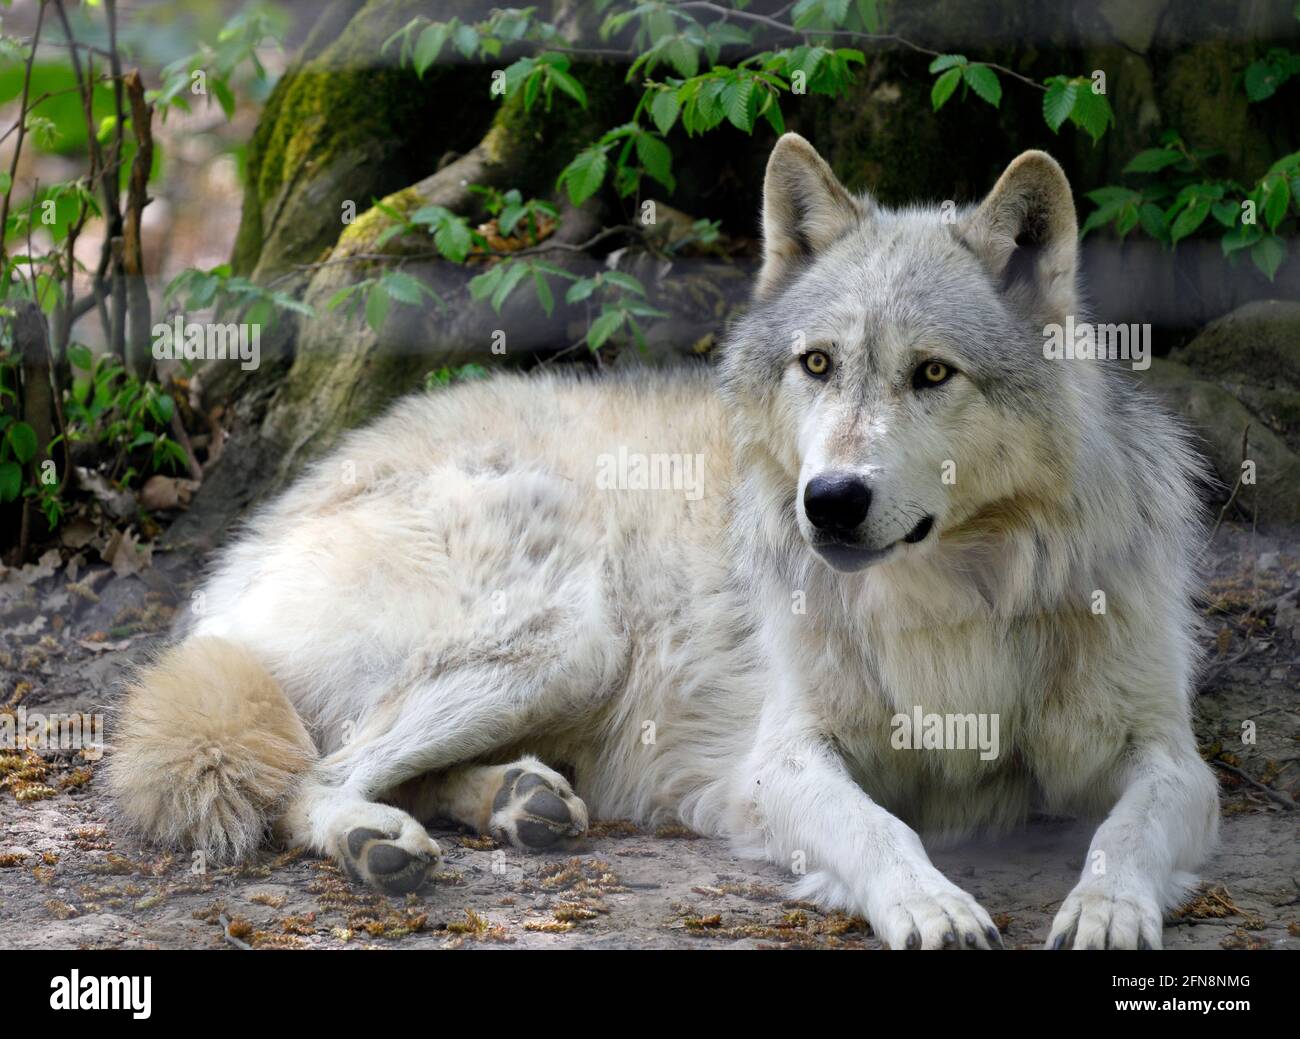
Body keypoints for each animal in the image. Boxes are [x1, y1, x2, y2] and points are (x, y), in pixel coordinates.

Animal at [108, 134, 1218, 949]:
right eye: (818, 364)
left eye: (933, 373)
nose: (830, 501)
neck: (952, 598)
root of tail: (255, 538)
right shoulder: (785, 756)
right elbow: (880, 825)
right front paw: (931, 903)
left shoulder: (1166, 752)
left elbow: (1129, 829)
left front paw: (1108, 909)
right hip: (569, 637)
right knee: (314, 773)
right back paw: (381, 838)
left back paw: (518, 802)